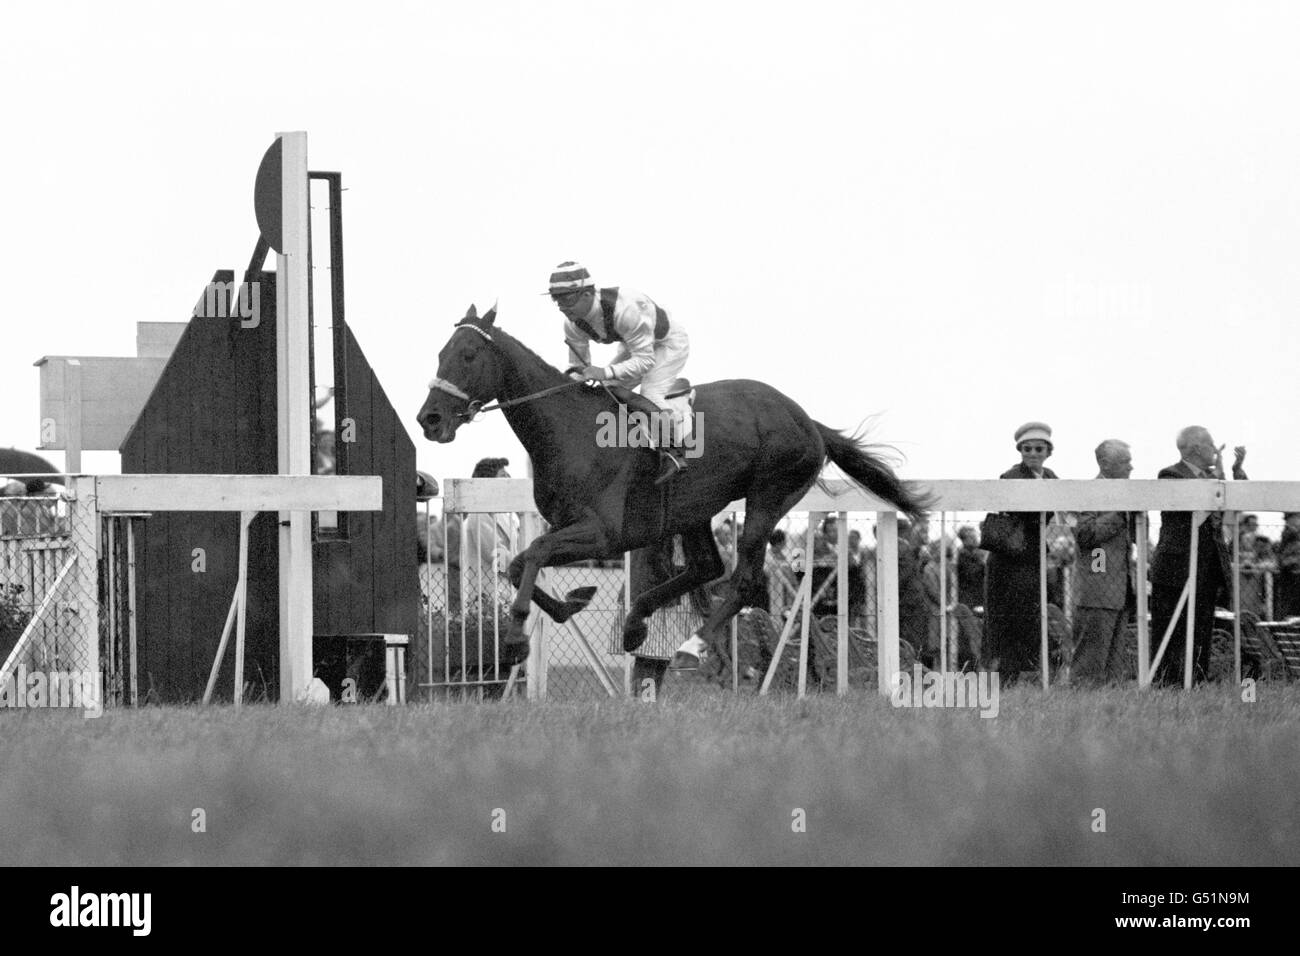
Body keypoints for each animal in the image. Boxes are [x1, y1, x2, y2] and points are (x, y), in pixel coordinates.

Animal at [416, 304, 930, 673]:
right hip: (695, 509)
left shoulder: (603, 533)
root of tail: (809, 422)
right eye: (440, 353)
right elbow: (518, 563)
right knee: (706, 566)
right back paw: (636, 623)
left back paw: (689, 645)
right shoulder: (570, 528)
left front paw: (515, 640)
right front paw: (570, 604)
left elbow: (534, 555)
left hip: (768, 496)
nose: (429, 419)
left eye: (468, 355)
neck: (569, 430)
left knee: (742, 579)